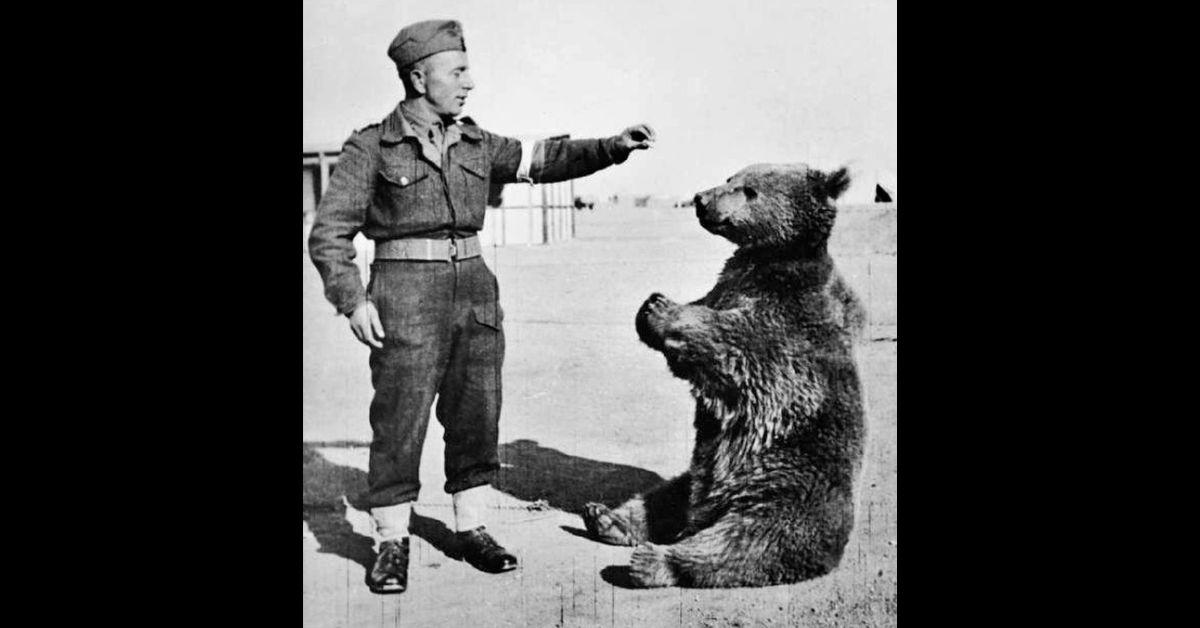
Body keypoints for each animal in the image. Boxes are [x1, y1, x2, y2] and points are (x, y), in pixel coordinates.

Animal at [581, 163, 867, 588]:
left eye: (749, 189)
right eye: (731, 176)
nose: (701, 198)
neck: (770, 257)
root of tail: (708, 510)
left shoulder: (786, 316)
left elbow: (734, 342)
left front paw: (664, 309)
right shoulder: (727, 283)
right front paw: (651, 304)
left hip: (785, 488)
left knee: (747, 540)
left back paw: (653, 561)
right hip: (696, 475)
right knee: (663, 496)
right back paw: (605, 517)